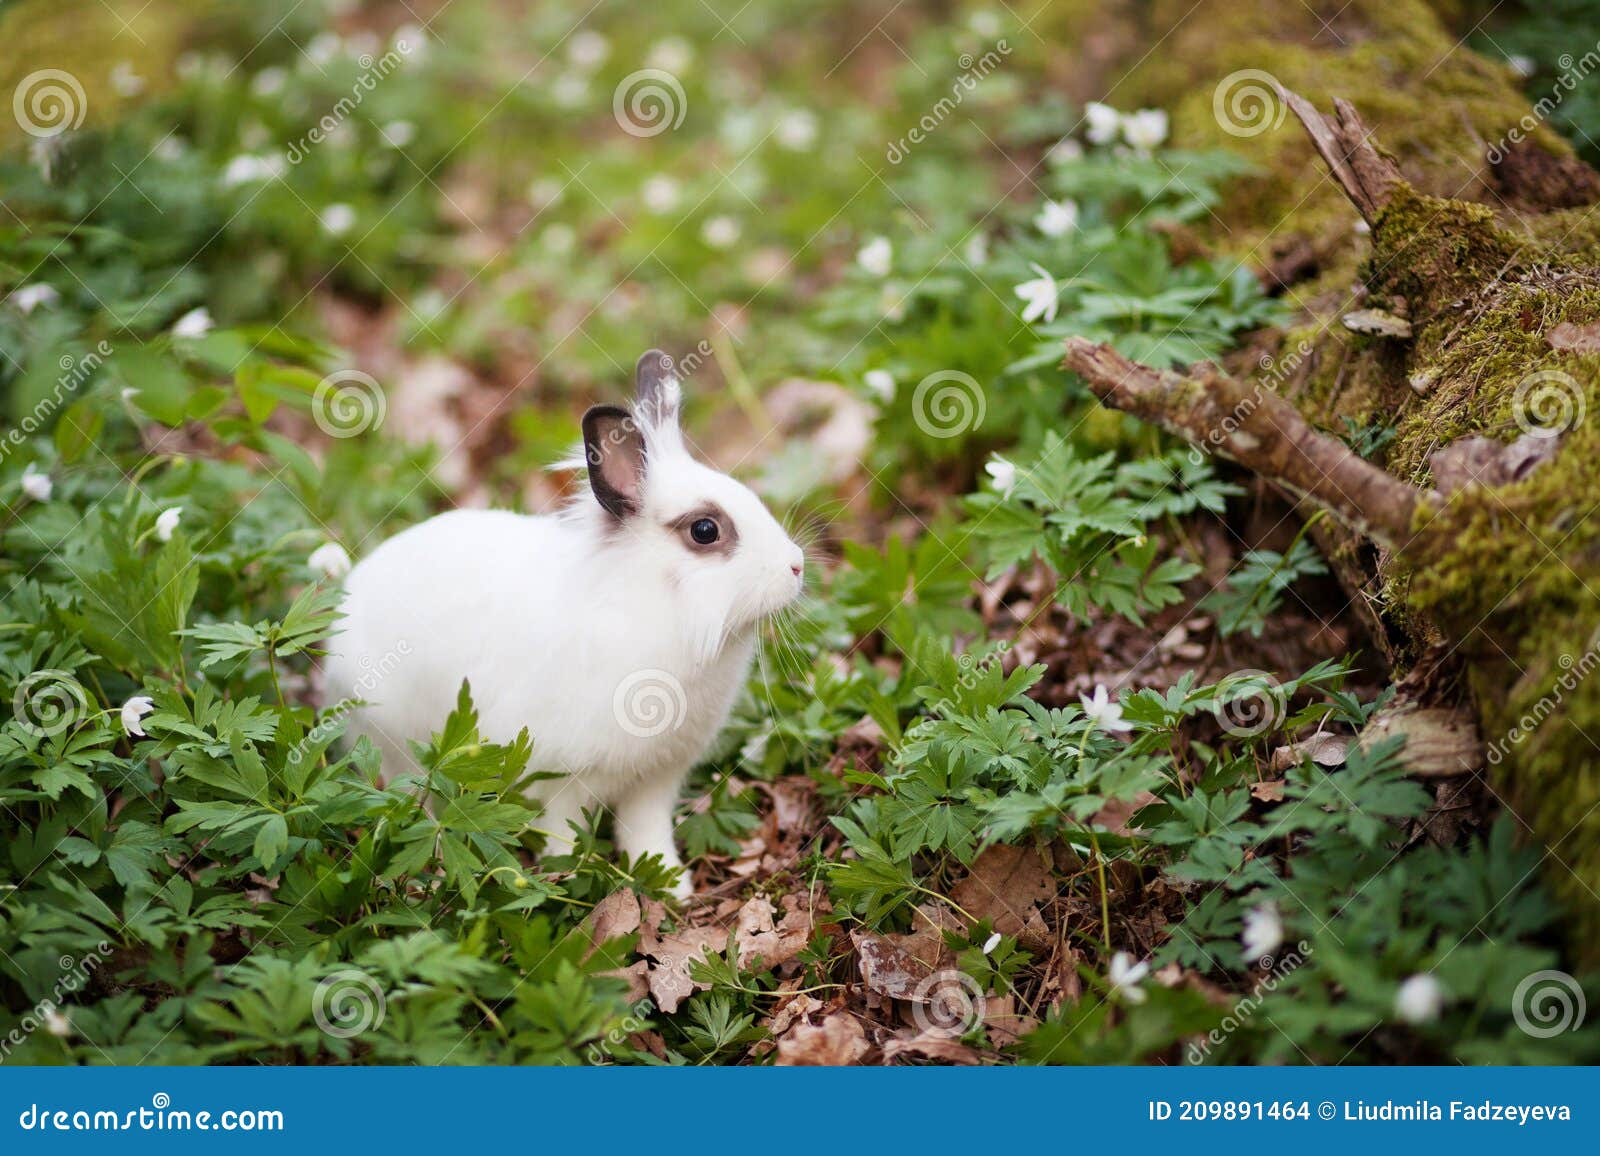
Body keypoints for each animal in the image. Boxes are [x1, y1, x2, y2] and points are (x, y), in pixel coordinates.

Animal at [321, 350, 805, 898]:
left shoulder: (657, 778)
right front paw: (567, 878)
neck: (651, 603)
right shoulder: (560, 779)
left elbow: (647, 832)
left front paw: (671, 886)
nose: (796, 566)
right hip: (394, 742)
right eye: (705, 530)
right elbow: (562, 831)